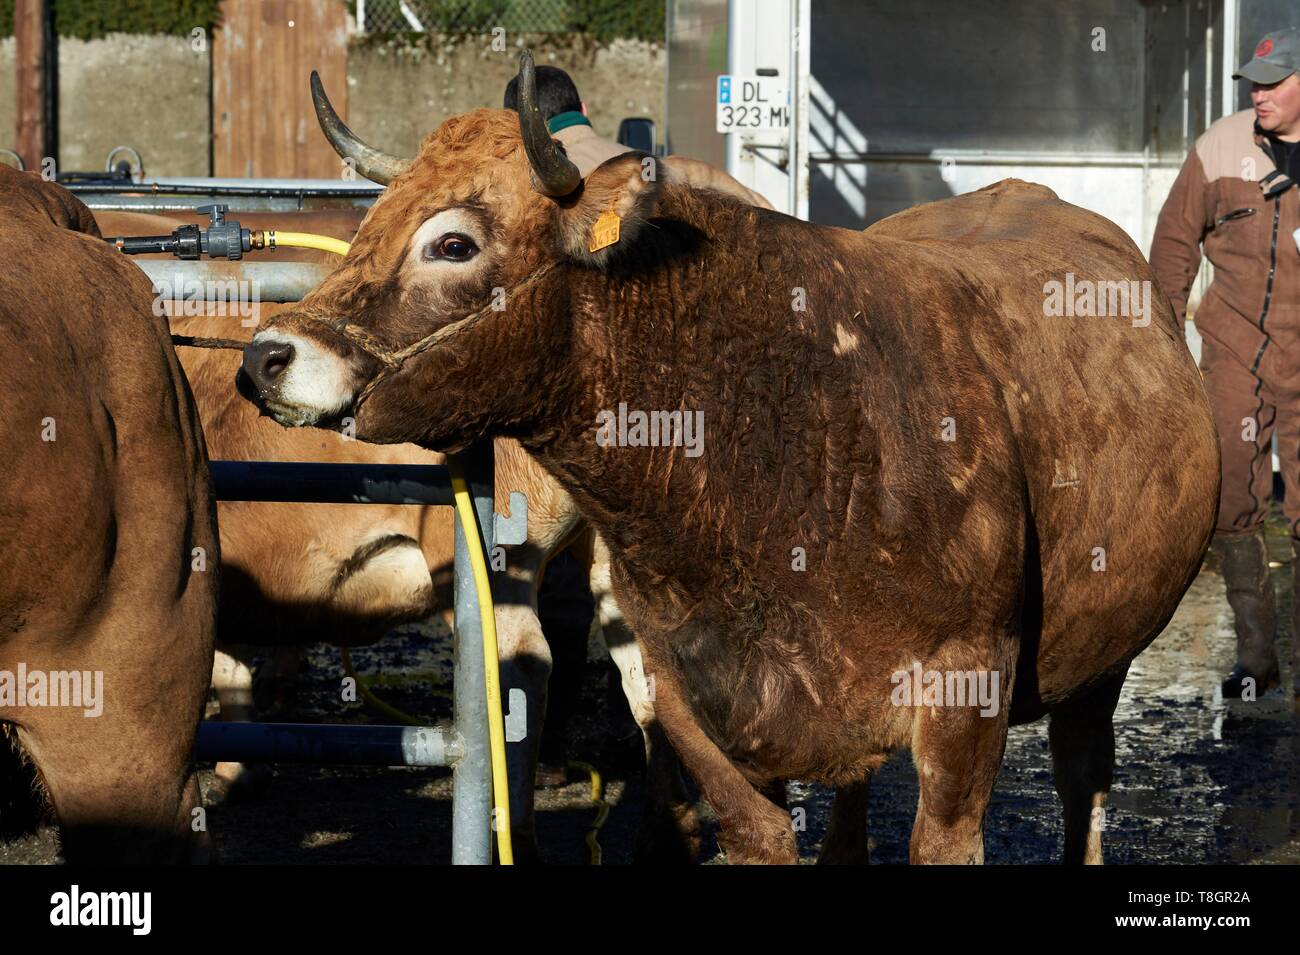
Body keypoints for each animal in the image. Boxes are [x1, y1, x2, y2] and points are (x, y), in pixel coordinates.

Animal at [238, 53, 1220, 864]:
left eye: (452, 242)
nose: (266, 356)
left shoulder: (966, 694)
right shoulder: (686, 688)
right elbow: (752, 827)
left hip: (1103, 662)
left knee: (1083, 783)